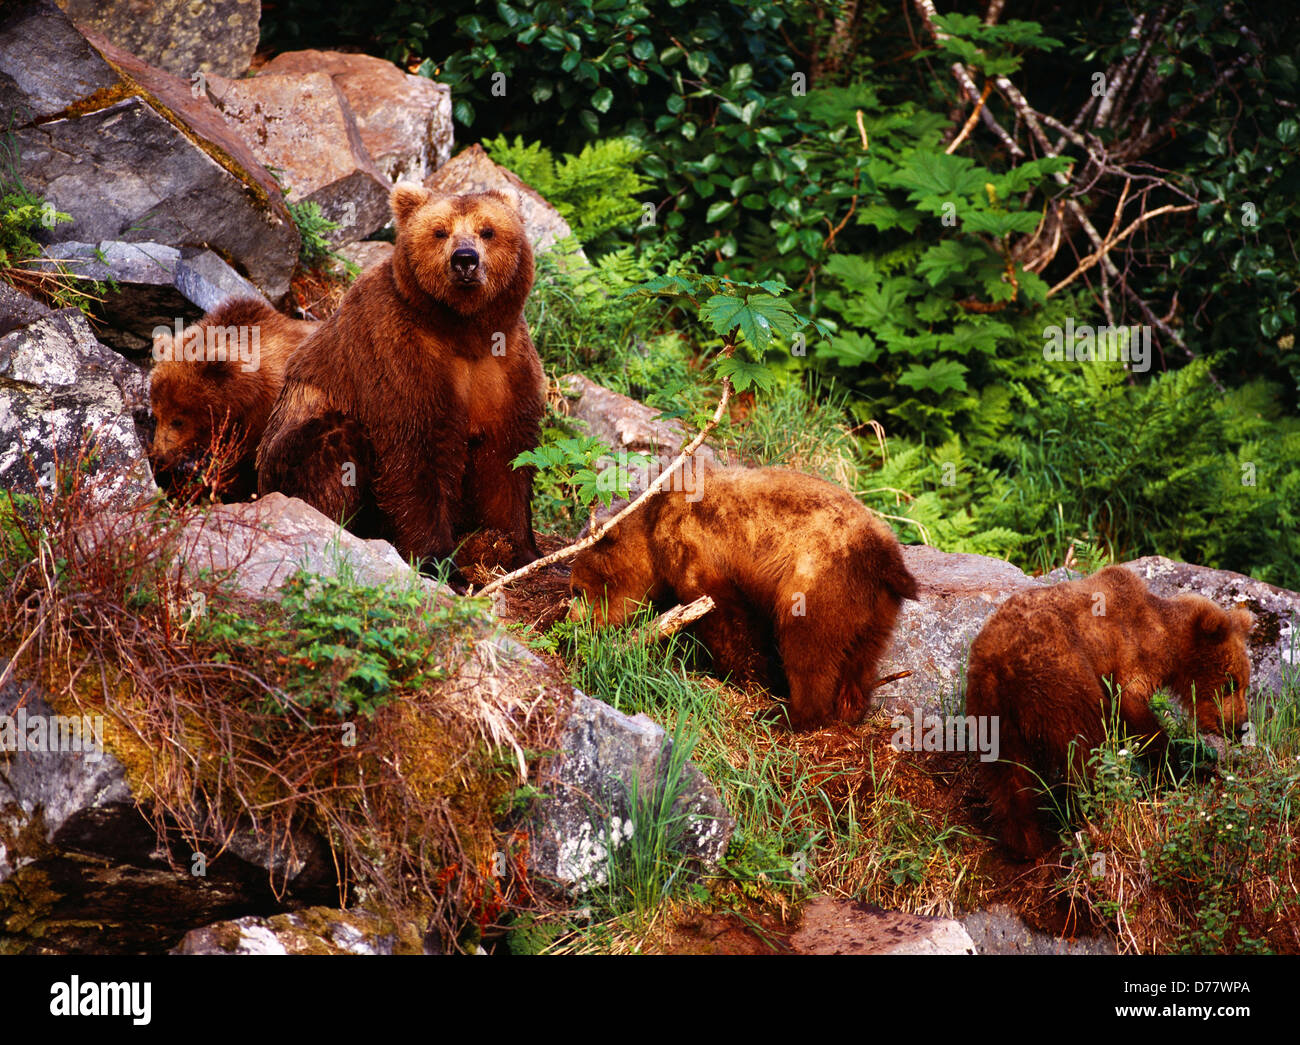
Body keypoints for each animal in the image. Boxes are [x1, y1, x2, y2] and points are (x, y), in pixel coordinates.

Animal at [256, 184, 544, 569]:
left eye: (488, 230)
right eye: (439, 231)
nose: (465, 259)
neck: (463, 330)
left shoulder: (504, 365)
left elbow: (506, 458)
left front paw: (521, 548)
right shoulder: (399, 355)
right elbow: (415, 454)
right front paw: (439, 560)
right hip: (286, 452)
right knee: (333, 442)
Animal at [568, 460, 919, 730]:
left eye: (577, 589)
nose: (573, 621)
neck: (651, 525)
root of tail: (886, 560)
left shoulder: (696, 544)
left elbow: (722, 613)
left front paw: (745, 678)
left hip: (819, 580)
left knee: (808, 649)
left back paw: (787, 714)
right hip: (876, 608)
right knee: (862, 657)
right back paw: (850, 708)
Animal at [964, 564, 1254, 860]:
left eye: (1245, 684)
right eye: (1231, 682)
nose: (1241, 725)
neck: (1169, 639)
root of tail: (1000, 662)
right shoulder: (1130, 656)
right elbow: (1133, 712)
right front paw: (1181, 770)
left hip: (991, 711)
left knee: (1007, 773)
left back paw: (1025, 842)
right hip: (1060, 679)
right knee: (1084, 746)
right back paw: (1100, 805)